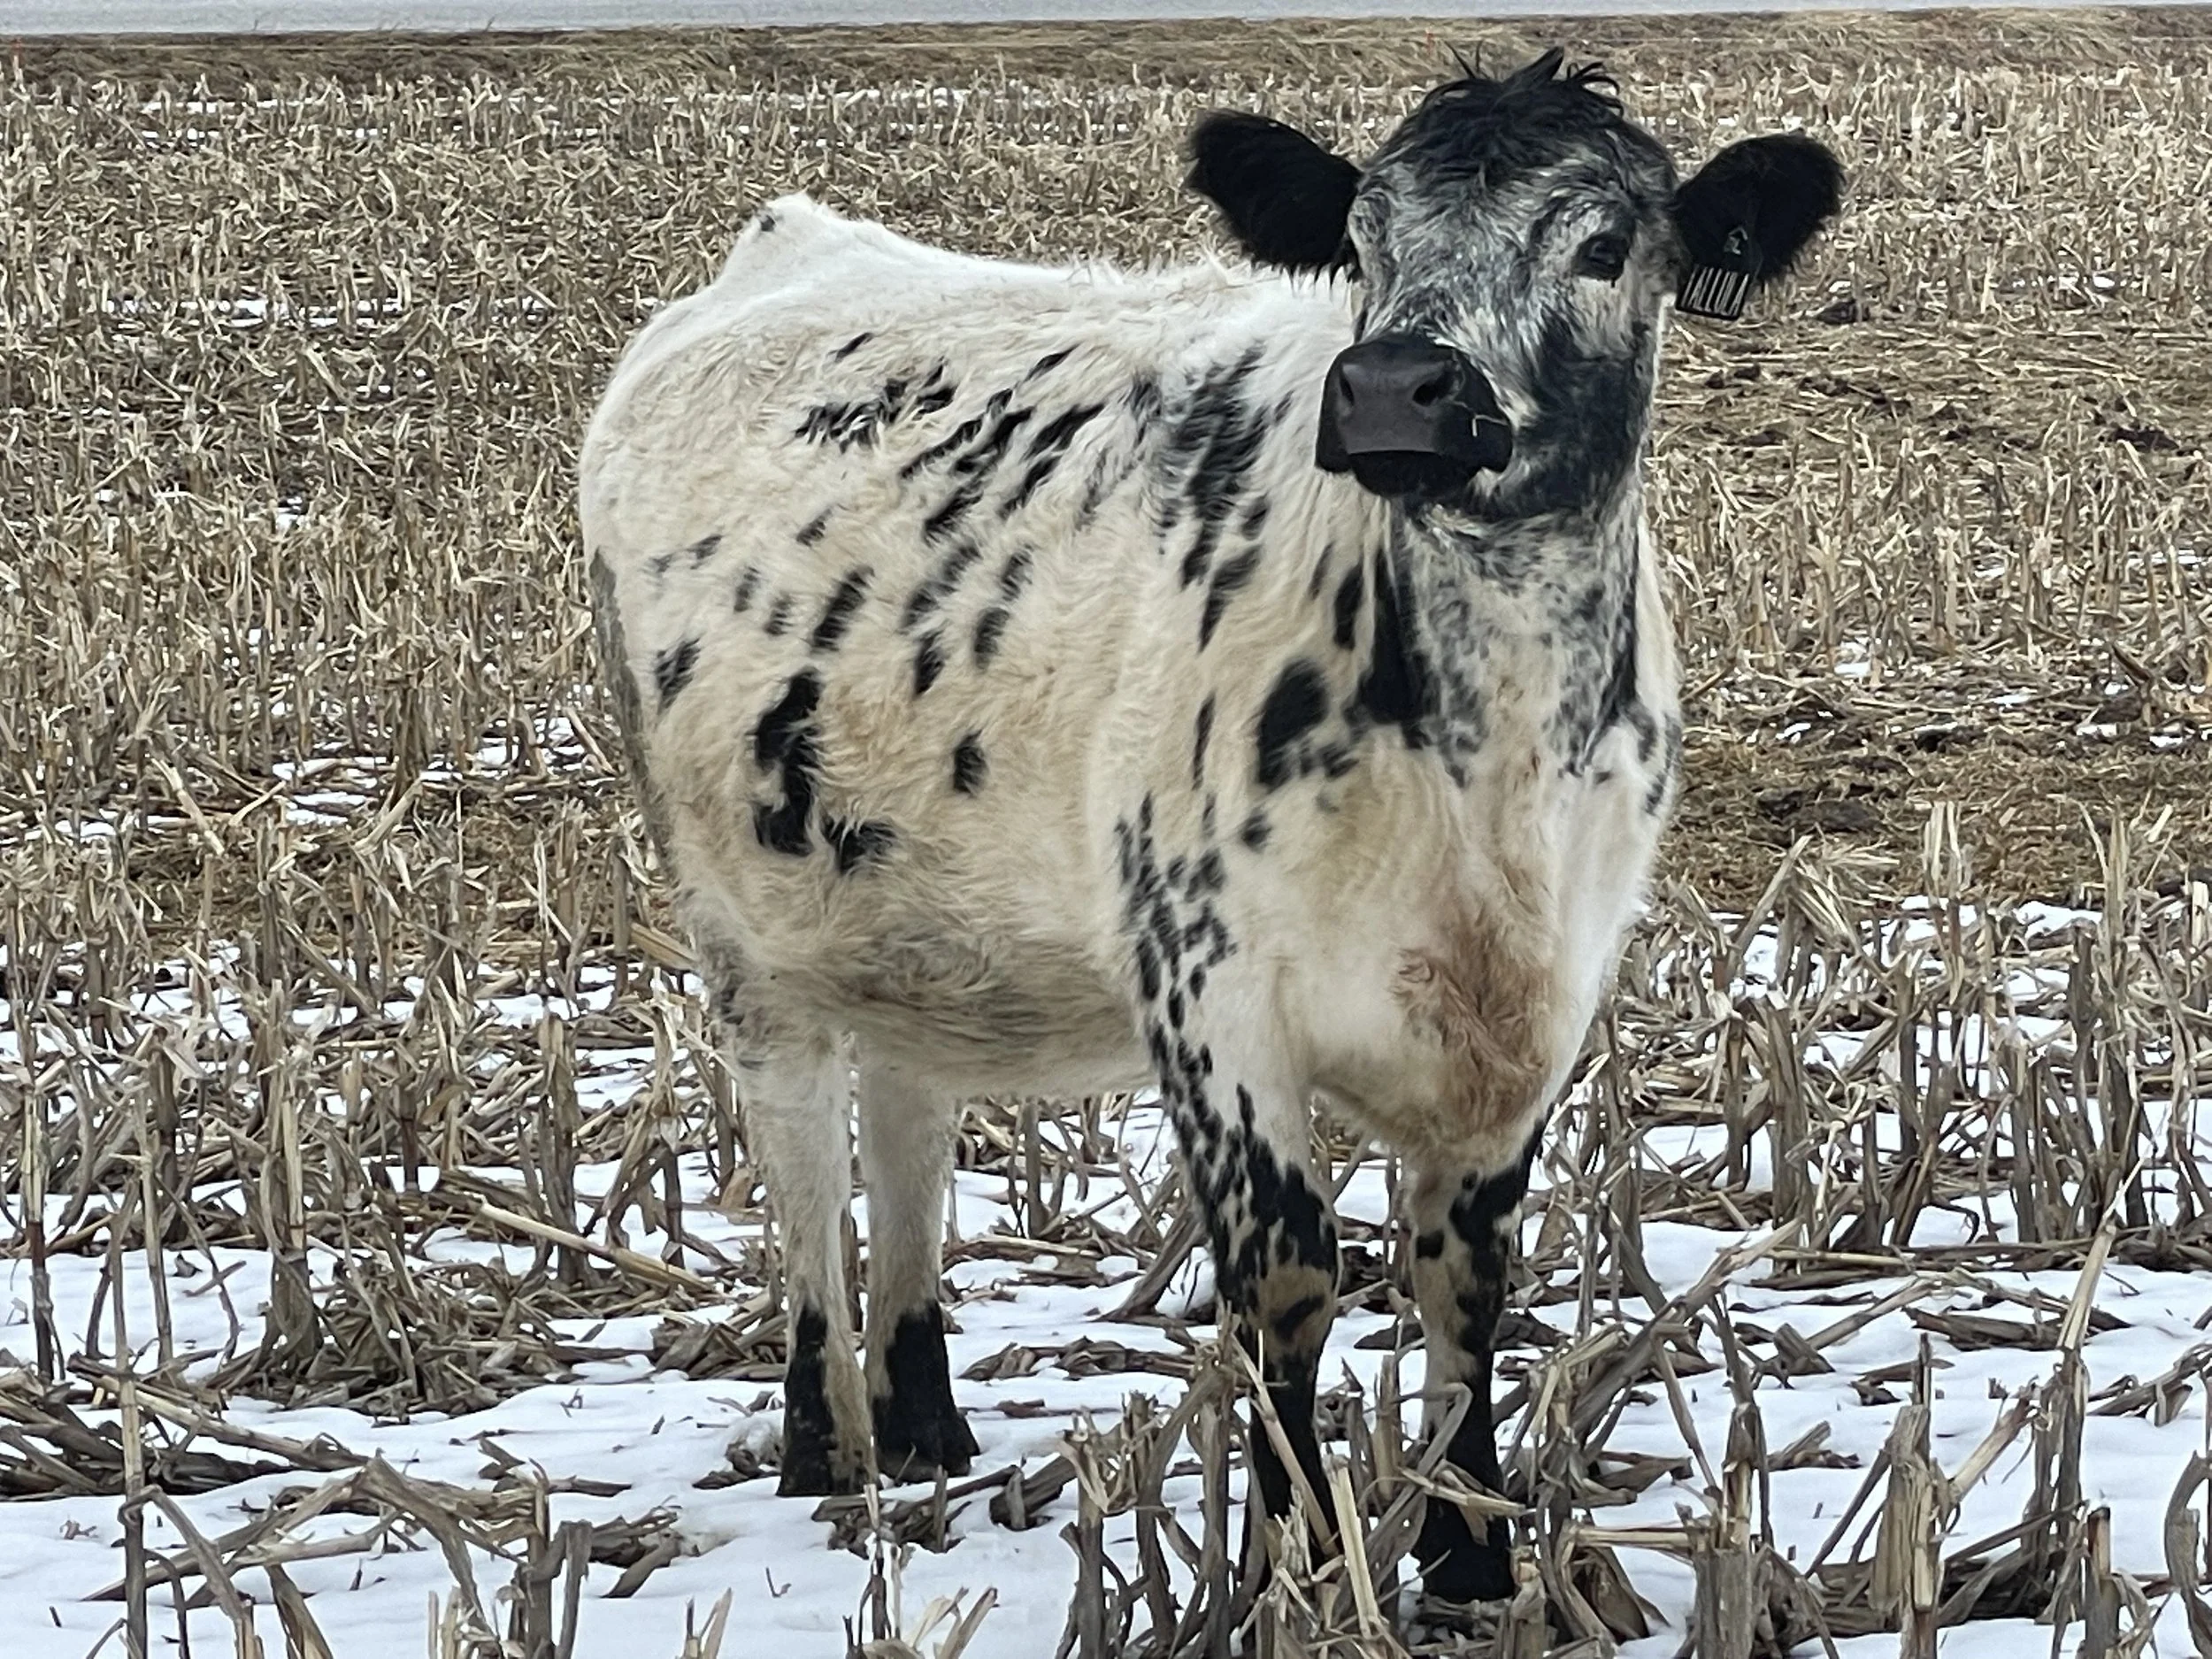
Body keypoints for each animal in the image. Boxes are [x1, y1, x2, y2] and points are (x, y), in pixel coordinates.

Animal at [579, 48, 1840, 1602]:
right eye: (1362, 241)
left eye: (1605, 244)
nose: (1393, 389)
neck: (1488, 745)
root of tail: (792, 243)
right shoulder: (1209, 983)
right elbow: (1288, 1279)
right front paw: (1298, 1565)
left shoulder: (1539, 1001)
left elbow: (1468, 1278)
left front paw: (1471, 1554)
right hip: (744, 924)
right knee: (807, 1153)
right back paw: (832, 1445)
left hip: (904, 905)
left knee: (909, 1111)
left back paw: (927, 1417)